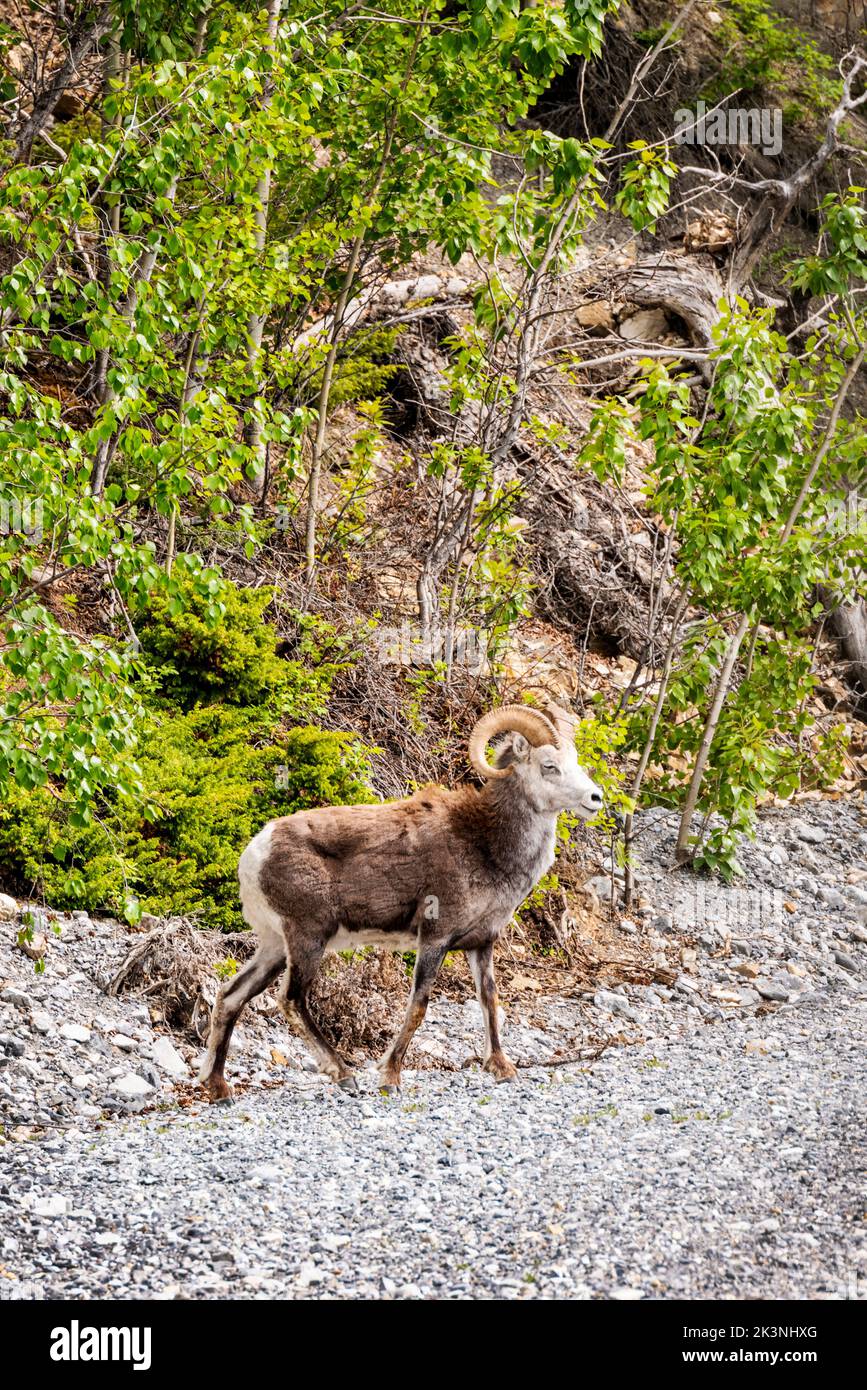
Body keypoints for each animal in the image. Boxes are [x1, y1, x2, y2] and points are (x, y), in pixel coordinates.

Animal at [199, 702, 603, 1098]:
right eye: (549, 766)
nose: (595, 798)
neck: (485, 845)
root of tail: (255, 852)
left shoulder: (482, 943)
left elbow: (489, 1000)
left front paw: (502, 1069)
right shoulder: (434, 939)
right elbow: (418, 1007)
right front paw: (390, 1077)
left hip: (274, 948)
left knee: (232, 996)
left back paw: (218, 1087)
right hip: (308, 939)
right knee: (292, 1000)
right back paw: (344, 1075)